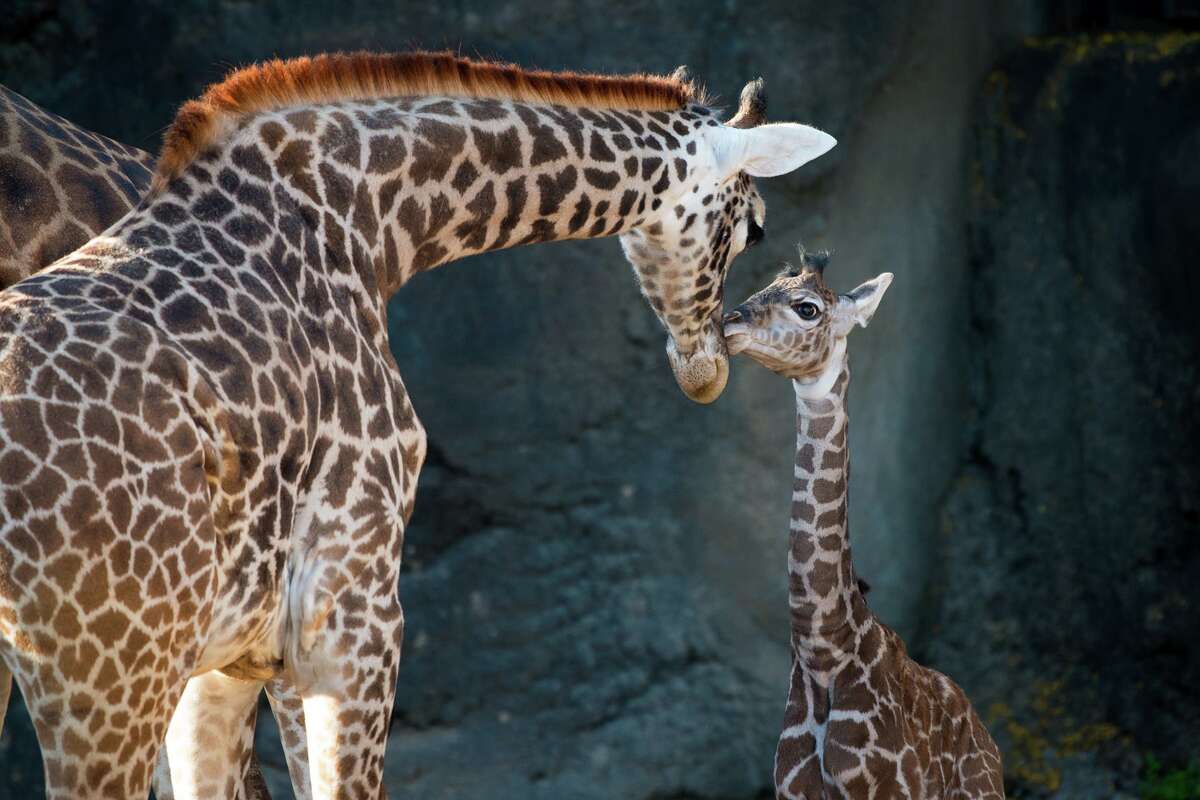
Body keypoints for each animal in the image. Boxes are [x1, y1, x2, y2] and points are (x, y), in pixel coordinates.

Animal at [723, 249, 1005, 799]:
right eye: (760, 288)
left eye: (807, 308)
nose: (729, 323)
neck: (823, 648)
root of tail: (988, 741)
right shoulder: (793, 791)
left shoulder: (889, 790)